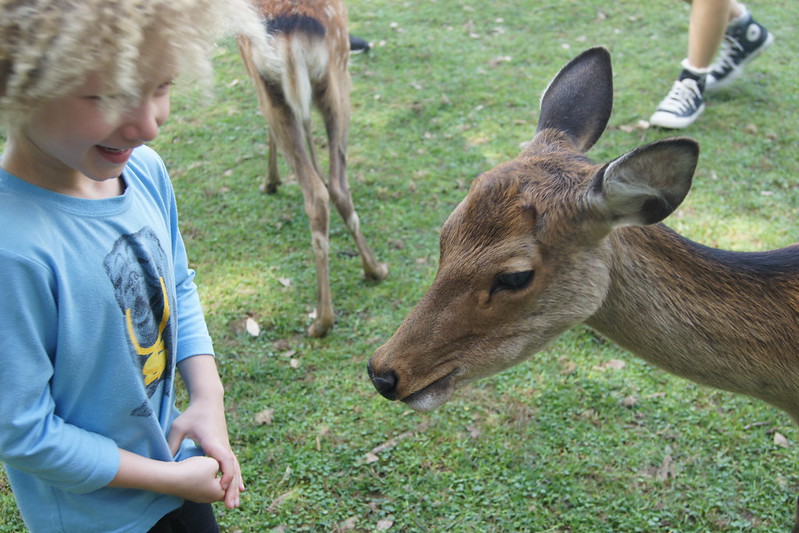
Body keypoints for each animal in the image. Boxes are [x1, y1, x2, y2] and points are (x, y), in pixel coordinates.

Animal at [238, 1, 388, 336]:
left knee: (323, 189)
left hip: (292, 85)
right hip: (334, 76)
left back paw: (326, 315)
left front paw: (270, 181)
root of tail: (289, 38)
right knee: (333, 186)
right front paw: (272, 181)